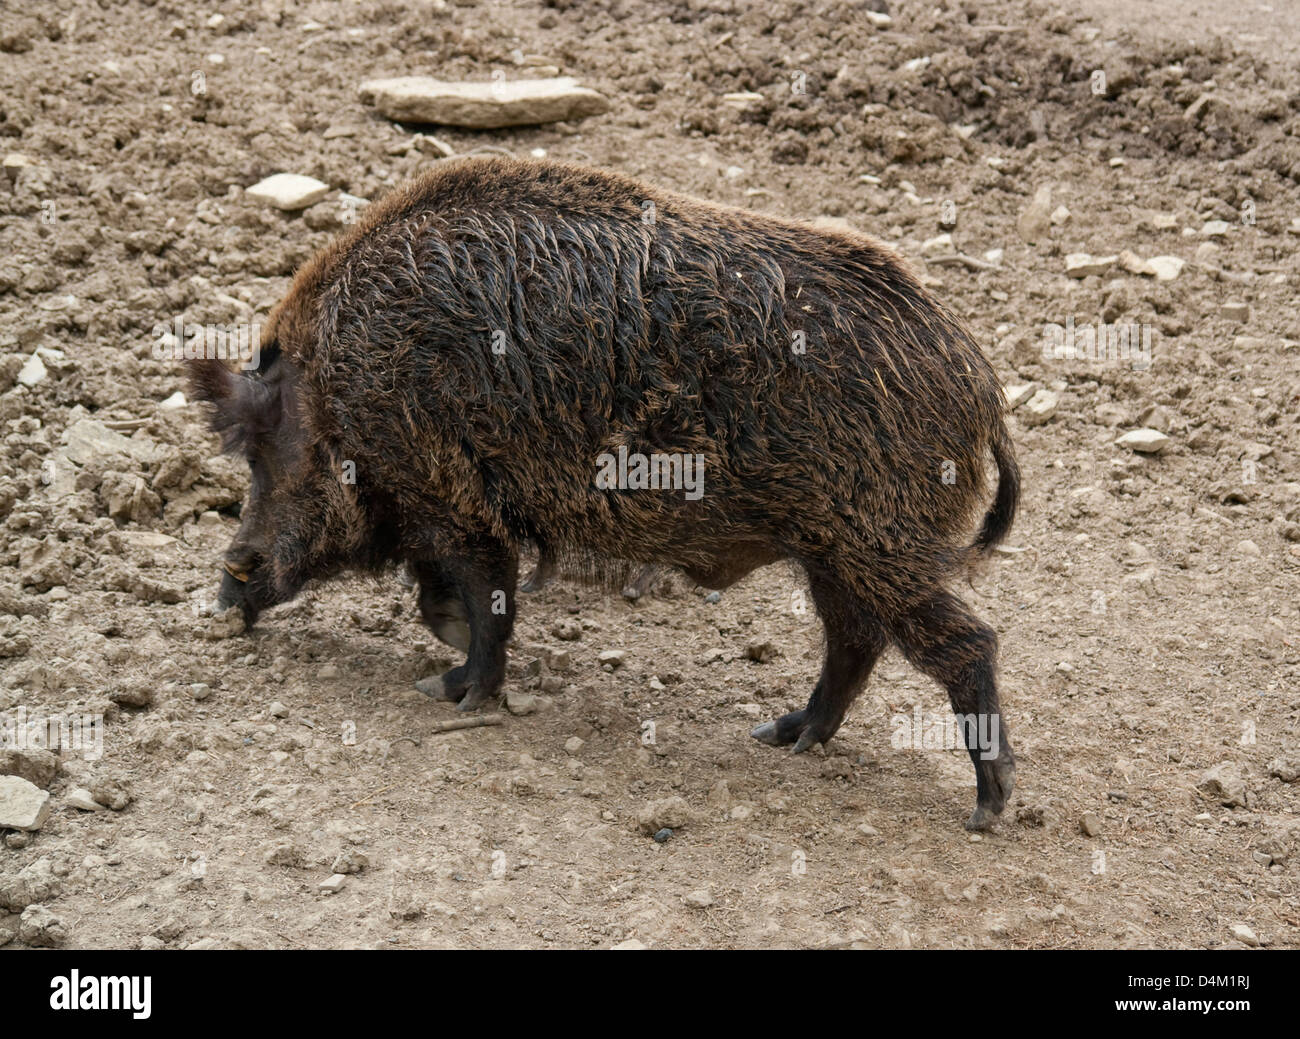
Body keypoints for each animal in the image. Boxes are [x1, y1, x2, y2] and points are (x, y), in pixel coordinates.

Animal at [193, 157, 1020, 829]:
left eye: (263, 447)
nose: (225, 592)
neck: (339, 388)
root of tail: (980, 387)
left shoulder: (451, 495)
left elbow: (486, 597)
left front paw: (454, 691)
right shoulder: (443, 505)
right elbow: (449, 595)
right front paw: (448, 657)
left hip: (878, 539)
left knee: (963, 641)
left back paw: (987, 807)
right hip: (833, 549)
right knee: (855, 640)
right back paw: (782, 735)